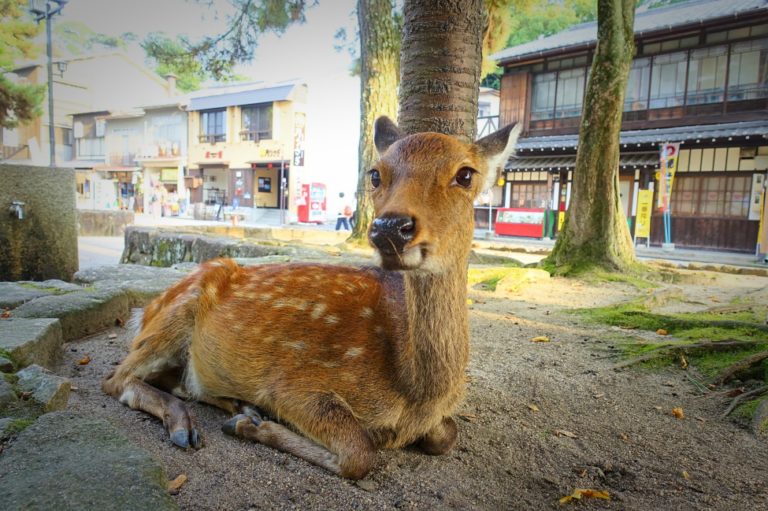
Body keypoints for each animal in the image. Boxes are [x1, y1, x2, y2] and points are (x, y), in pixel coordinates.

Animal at [103, 116, 521, 480]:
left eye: (466, 174)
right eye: (375, 174)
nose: (390, 228)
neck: (417, 395)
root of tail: (144, 311)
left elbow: (447, 435)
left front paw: (249, 418)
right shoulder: (293, 384)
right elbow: (361, 453)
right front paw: (249, 427)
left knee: (178, 381)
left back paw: (235, 405)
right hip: (176, 311)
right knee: (117, 379)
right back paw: (188, 423)